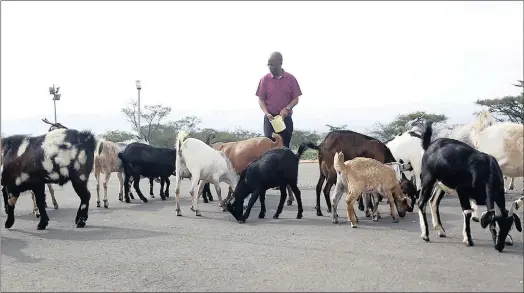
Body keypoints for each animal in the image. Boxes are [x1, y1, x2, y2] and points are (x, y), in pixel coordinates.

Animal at [418, 121, 520, 251]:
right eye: (493, 226)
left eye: (510, 227)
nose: (499, 247)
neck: (487, 171)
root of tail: (430, 145)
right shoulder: (462, 190)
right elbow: (467, 212)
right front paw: (468, 239)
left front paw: (508, 239)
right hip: (428, 178)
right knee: (421, 202)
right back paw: (425, 235)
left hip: (442, 184)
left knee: (433, 201)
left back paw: (440, 230)